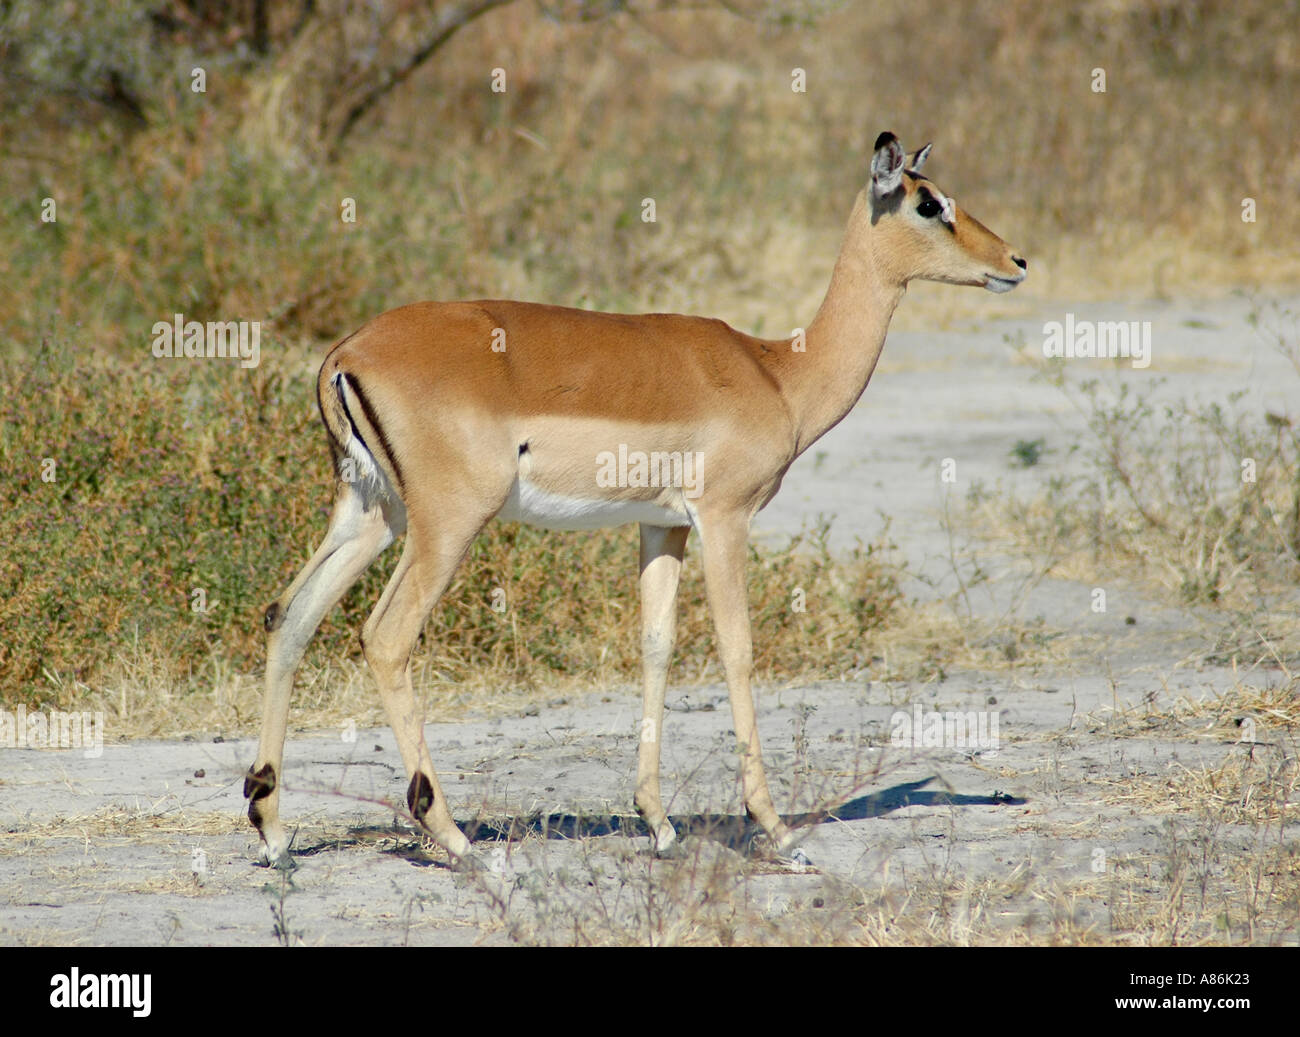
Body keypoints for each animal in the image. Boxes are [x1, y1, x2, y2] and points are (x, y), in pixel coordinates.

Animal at [244, 132, 1026, 868]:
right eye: (929, 203)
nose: (1016, 261)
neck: (778, 373)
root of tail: (346, 353)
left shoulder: (662, 527)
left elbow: (656, 645)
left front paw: (660, 825)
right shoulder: (724, 518)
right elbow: (738, 648)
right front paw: (778, 834)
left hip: (372, 513)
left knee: (289, 614)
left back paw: (274, 830)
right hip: (446, 524)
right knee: (385, 636)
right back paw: (459, 841)